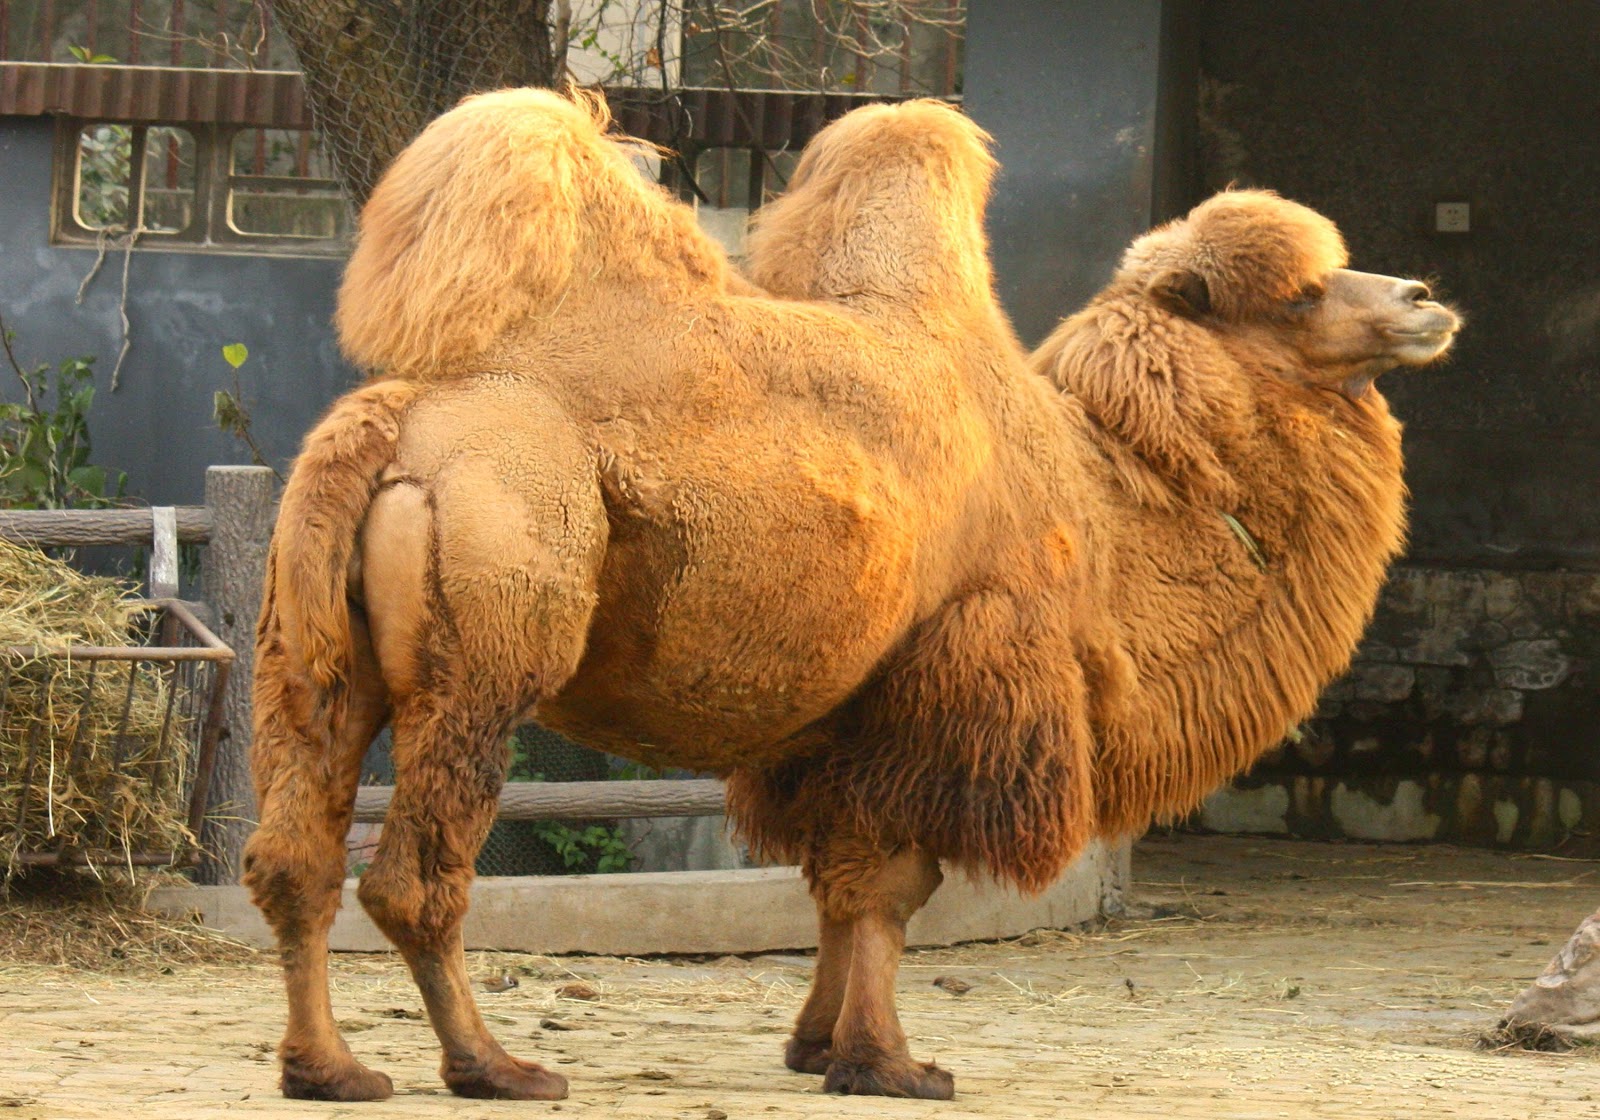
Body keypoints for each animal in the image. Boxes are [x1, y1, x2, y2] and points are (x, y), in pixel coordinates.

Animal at [242, 86, 1460, 1104]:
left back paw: (330, 1070)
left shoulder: (839, 714)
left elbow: (835, 884)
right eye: (1300, 295)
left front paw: (816, 1044)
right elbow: (891, 885)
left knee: (294, 857)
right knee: (415, 875)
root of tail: (392, 422)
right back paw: (495, 1068)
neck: (1104, 509)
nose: (1422, 297)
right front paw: (893, 1065)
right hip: (490, 635)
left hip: (312, 657)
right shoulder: (952, 679)